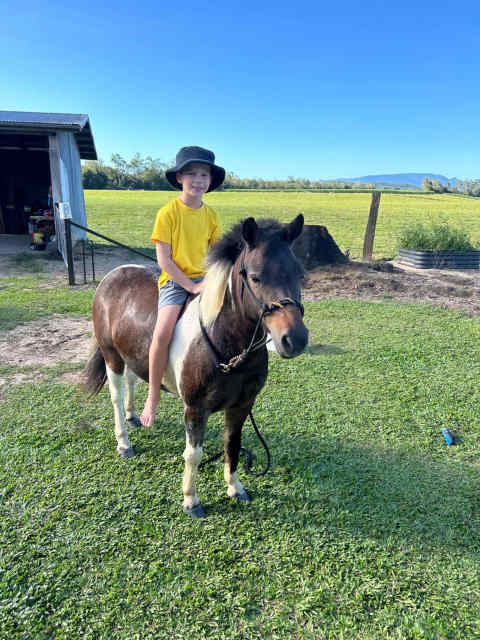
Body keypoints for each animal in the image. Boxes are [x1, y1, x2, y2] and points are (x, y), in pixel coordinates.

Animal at [82, 215, 309, 517]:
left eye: (299, 274)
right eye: (255, 277)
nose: (295, 339)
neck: (224, 343)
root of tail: (113, 275)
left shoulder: (242, 405)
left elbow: (232, 445)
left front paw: (235, 488)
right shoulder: (195, 409)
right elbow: (194, 454)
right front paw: (191, 500)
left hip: (131, 353)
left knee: (132, 380)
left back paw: (133, 417)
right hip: (111, 356)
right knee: (116, 396)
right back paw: (124, 442)